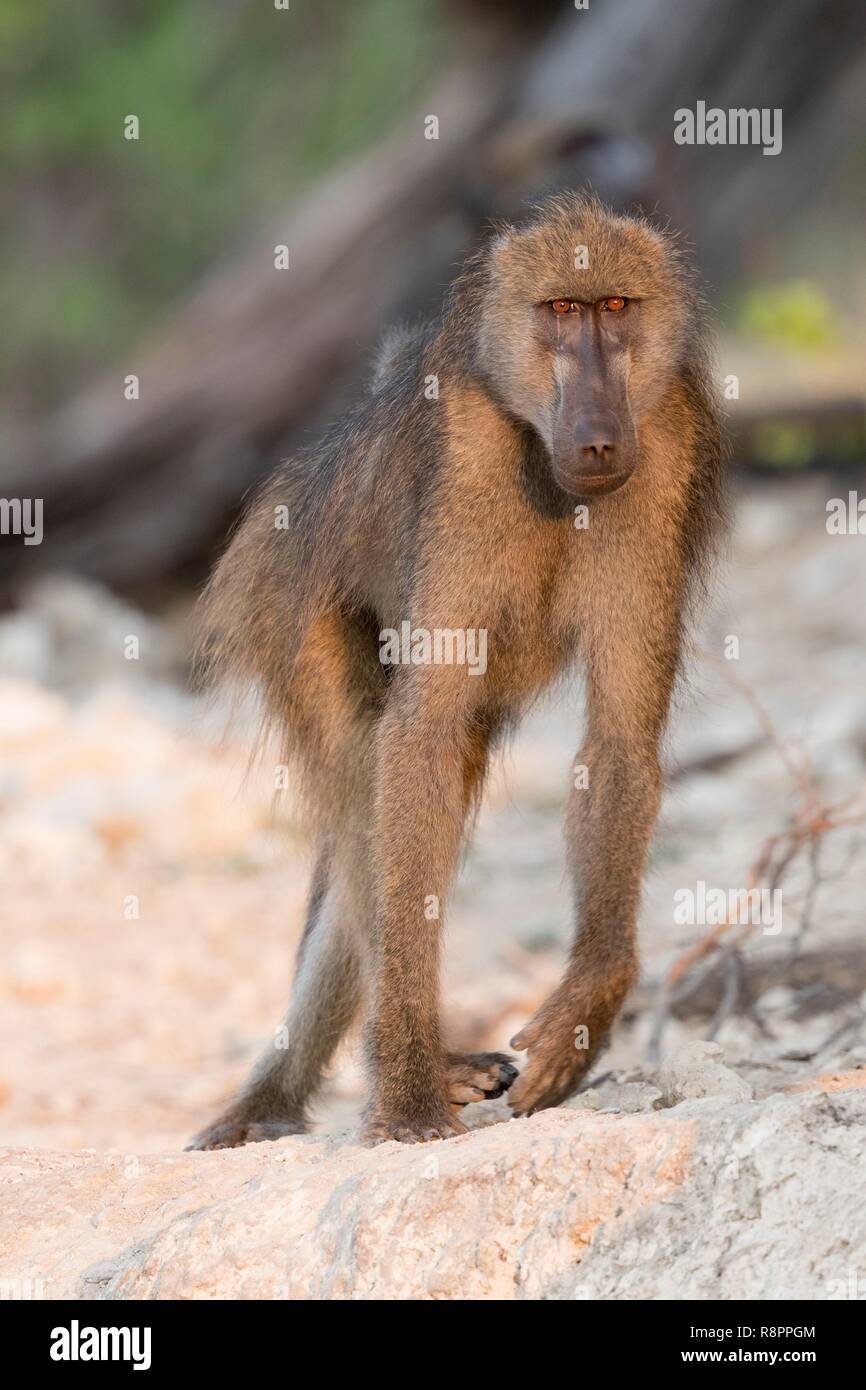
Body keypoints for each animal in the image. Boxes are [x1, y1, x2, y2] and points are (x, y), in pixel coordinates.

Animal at [188, 192, 725, 1150]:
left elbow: (619, 741)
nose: (598, 437)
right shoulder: (462, 464)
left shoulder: (664, 449)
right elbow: (418, 740)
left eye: (616, 307)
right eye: (560, 311)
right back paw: (401, 1063)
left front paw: (585, 1010)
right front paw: (406, 1096)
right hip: (284, 601)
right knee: (369, 787)